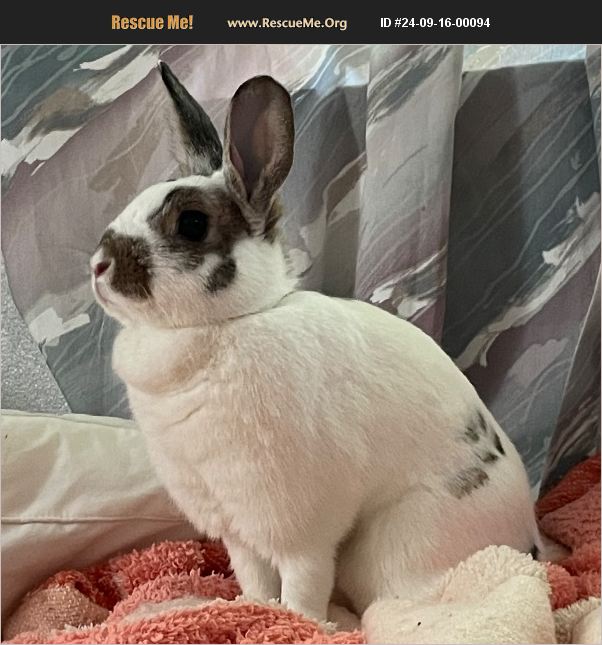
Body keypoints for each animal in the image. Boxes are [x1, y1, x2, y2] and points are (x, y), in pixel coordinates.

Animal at [90, 61, 543, 622]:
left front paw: (296, 621)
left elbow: (302, 584)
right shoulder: (237, 526)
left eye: (192, 224)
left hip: (399, 549)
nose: (98, 266)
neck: (227, 324)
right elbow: (253, 577)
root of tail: (529, 543)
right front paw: (250, 607)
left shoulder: (299, 528)